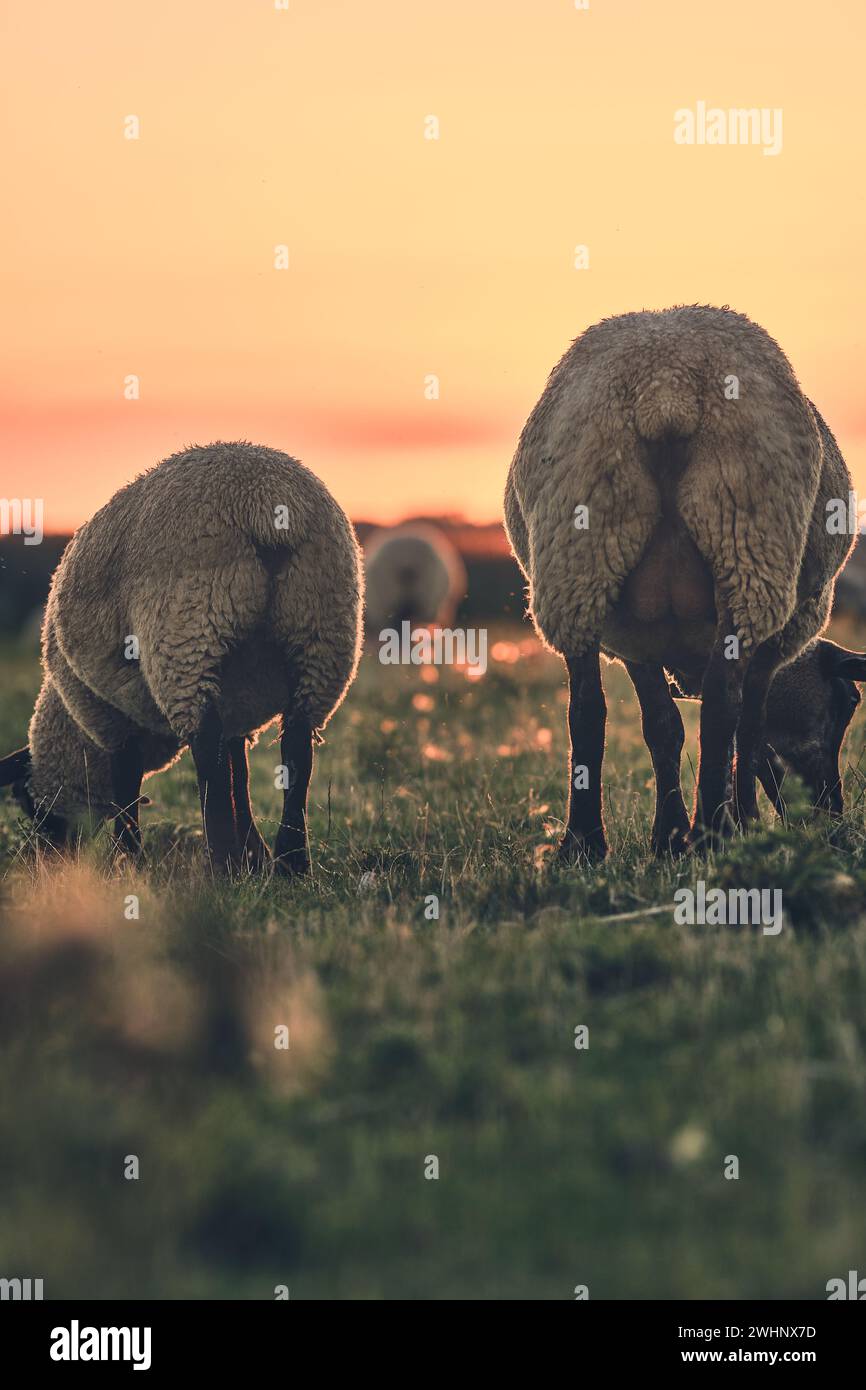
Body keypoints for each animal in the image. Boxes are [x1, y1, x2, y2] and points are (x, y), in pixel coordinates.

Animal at [0, 441, 363, 874]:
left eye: (28, 802)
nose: (45, 858)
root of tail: (266, 502)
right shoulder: (237, 700)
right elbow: (238, 770)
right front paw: (254, 854)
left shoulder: (105, 713)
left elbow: (127, 781)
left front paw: (127, 857)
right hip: (322, 634)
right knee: (297, 750)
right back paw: (291, 862)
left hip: (187, 633)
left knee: (206, 751)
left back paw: (221, 865)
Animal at [504, 305, 866, 862]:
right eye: (848, 704)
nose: (832, 817)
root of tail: (665, 384)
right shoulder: (773, 641)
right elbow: (749, 731)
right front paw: (739, 822)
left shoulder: (636, 636)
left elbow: (663, 728)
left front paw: (667, 838)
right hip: (747, 551)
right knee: (721, 709)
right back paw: (713, 833)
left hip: (582, 559)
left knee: (585, 710)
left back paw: (584, 844)